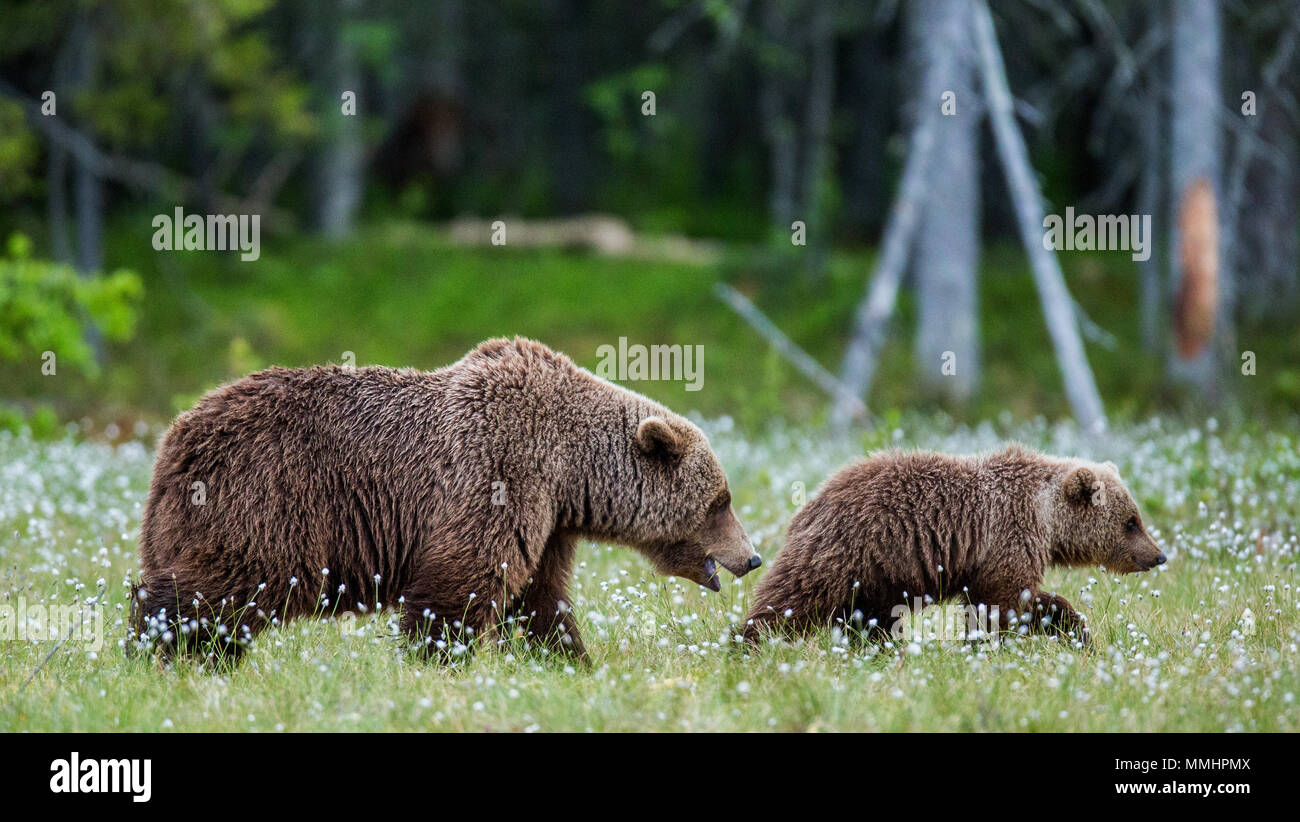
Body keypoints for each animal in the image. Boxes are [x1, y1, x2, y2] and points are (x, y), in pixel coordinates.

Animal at [131, 337, 761, 663]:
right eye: (721, 500)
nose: (752, 556)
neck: (570, 471)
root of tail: (175, 434)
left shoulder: (549, 523)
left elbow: (541, 598)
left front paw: (571, 660)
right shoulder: (501, 475)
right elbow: (461, 583)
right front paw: (435, 657)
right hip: (266, 500)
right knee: (218, 588)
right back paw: (166, 648)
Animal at [743, 445, 1165, 647]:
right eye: (1132, 522)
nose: (1158, 555)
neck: (1045, 517)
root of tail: (812, 500)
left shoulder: (989, 560)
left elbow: (1009, 602)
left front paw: (1078, 634)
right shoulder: (1007, 538)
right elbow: (1004, 603)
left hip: (876, 575)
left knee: (870, 618)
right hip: (847, 549)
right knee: (791, 599)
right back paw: (749, 643)